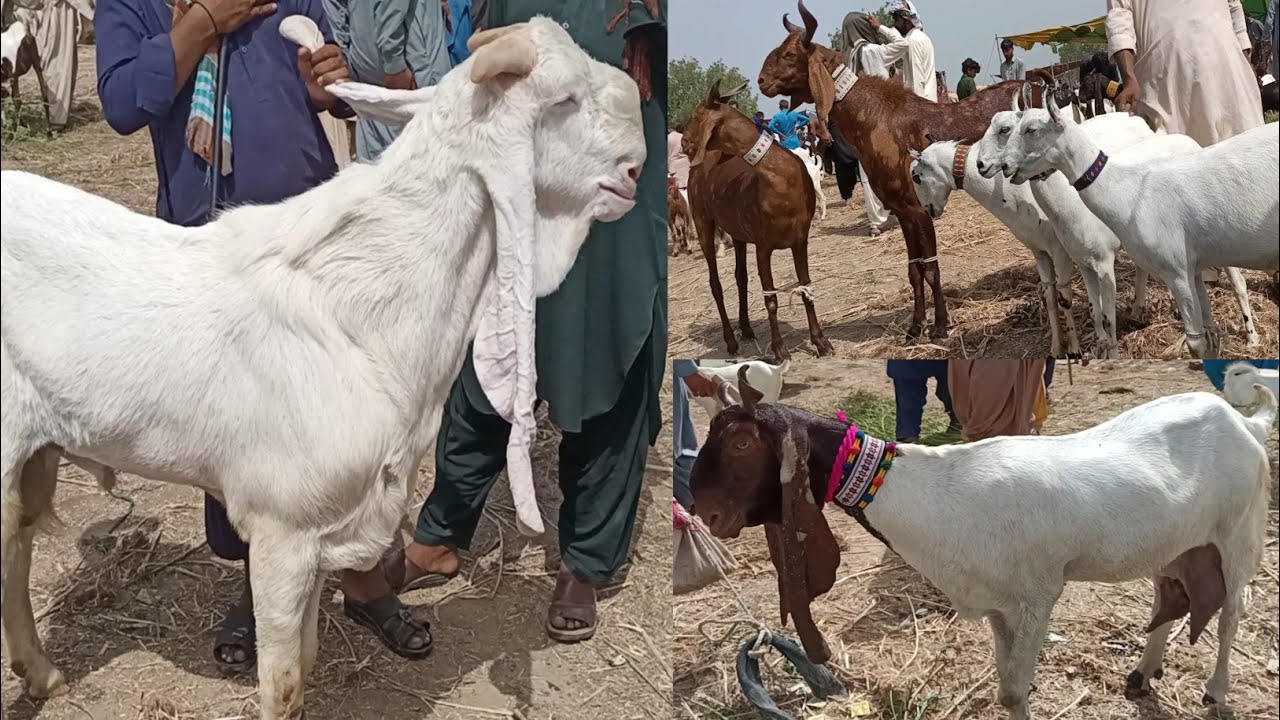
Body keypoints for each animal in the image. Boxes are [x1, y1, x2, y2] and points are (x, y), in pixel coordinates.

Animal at [0, 17, 645, 720]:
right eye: (563, 100)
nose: (637, 163)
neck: (362, 312)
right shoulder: (282, 530)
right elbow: (283, 682)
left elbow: (307, 660)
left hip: (35, 457)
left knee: (16, 554)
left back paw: (42, 675)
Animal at [683, 78, 833, 360]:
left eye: (696, 115)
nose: (684, 143)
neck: (779, 178)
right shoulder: (764, 246)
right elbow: (770, 298)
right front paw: (780, 350)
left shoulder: (800, 239)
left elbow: (806, 288)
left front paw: (821, 342)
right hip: (702, 220)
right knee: (715, 283)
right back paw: (731, 341)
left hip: (738, 233)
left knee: (740, 277)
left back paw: (746, 328)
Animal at [690, 367, 1274, 720]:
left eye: (741, 443)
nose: (706, 512)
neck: (934, 493)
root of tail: (1246, 420)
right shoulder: (997, 604)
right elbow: (1003, 680)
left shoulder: (1038, 596)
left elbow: (1013, 688)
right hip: (1175, 543)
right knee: (1170, 596)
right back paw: (1143, 673)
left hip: (1239, 533)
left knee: (1231, 609)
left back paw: (1216, 691)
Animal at [757, 0, 1050, 342]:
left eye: (791, 54)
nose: (761, 80)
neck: (876, 120)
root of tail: (1040, 85)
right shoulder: (903, 210)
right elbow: (914, 269)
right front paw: (915, 326)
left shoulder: (920, 209)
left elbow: (932, 268)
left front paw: (940, 325)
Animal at [997, 99, 1277, 358]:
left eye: (1031, 129)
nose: (1004, 166)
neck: (1129, 192)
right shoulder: (1193, 268)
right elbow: (1210, 331)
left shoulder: (1175, 270)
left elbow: (1195, 341)